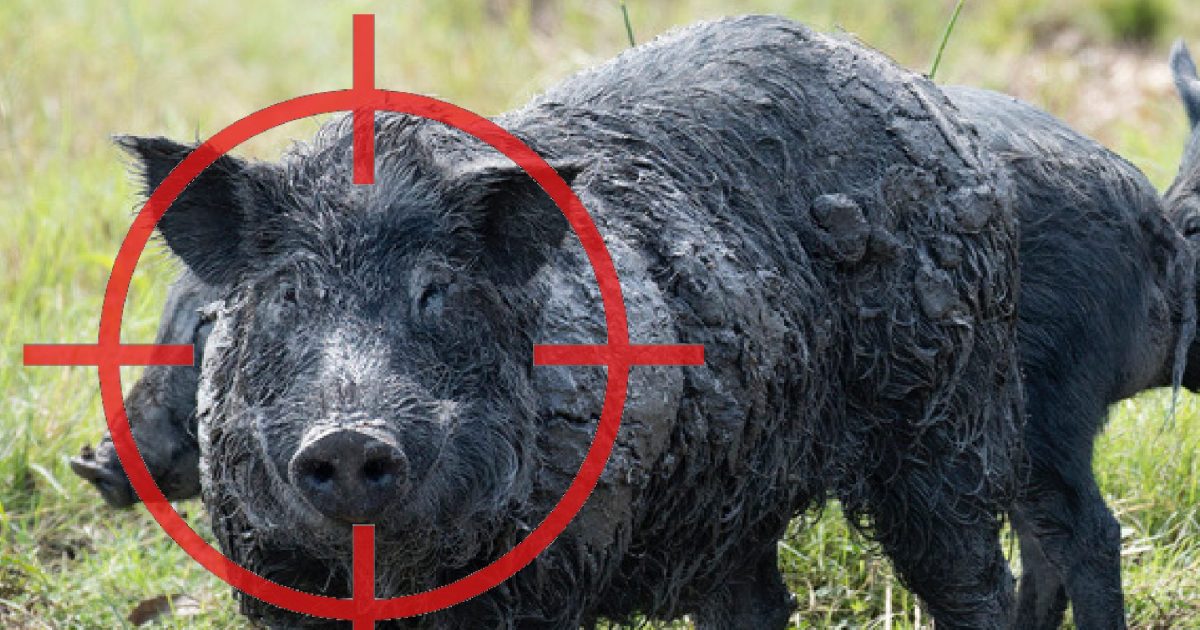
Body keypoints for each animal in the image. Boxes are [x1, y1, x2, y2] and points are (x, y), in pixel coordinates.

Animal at [114, 16, 1025, 629]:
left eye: (437, 291)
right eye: (288, 293)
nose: (347, 435)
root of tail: (923, 94)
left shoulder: (558, 565)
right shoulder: (272, 575)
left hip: (943, 412)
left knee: (973, 576)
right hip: (741, 493)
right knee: (757, 598)